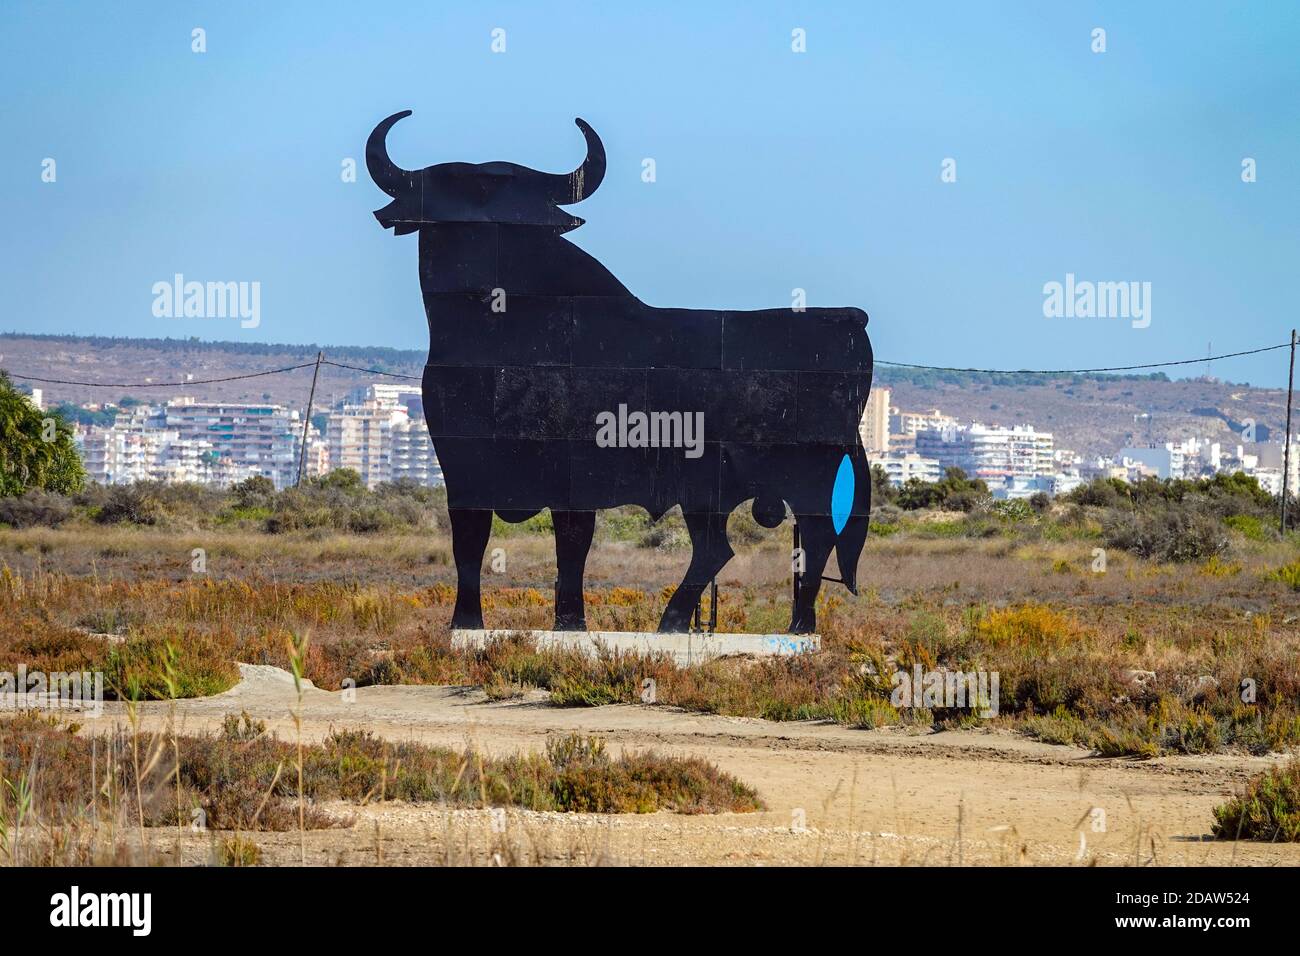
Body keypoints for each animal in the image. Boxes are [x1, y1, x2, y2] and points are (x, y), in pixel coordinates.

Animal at [367, 111, 872, 634]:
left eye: (513, 225)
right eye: (446, 223)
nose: (475, 277)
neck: (503, 340)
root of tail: (851, 320)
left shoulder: (573, 472)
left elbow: (571, 544)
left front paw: (569, 623)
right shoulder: (463, 468)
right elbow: (470, 541)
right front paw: (469, 623)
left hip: (808, 472)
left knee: (814, 538)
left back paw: (796, 627)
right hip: (707, 488)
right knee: (719, 548)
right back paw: (679, 622)